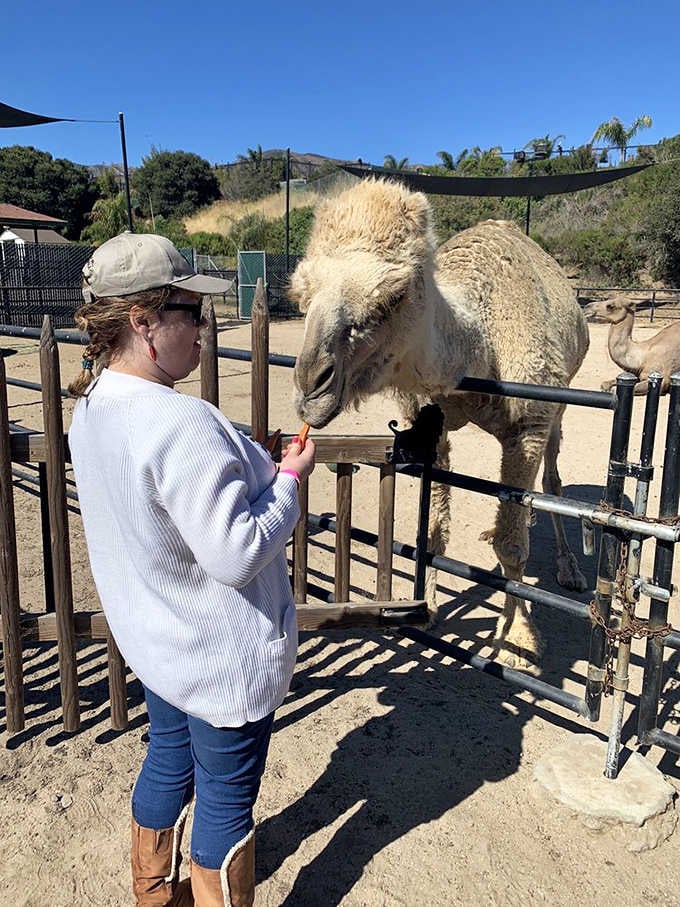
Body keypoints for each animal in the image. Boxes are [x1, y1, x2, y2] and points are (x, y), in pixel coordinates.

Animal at [288, 178, 590, 669]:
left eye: (394, 295)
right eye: (300, 296)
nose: (312, 385)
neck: (480, 345)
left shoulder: (530, 422)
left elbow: (512, 545)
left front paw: (518, 642)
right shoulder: (430, 423)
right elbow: (431, 530)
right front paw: (425, 608)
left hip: (563, 402)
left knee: (553, 481)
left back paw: (570, 569)